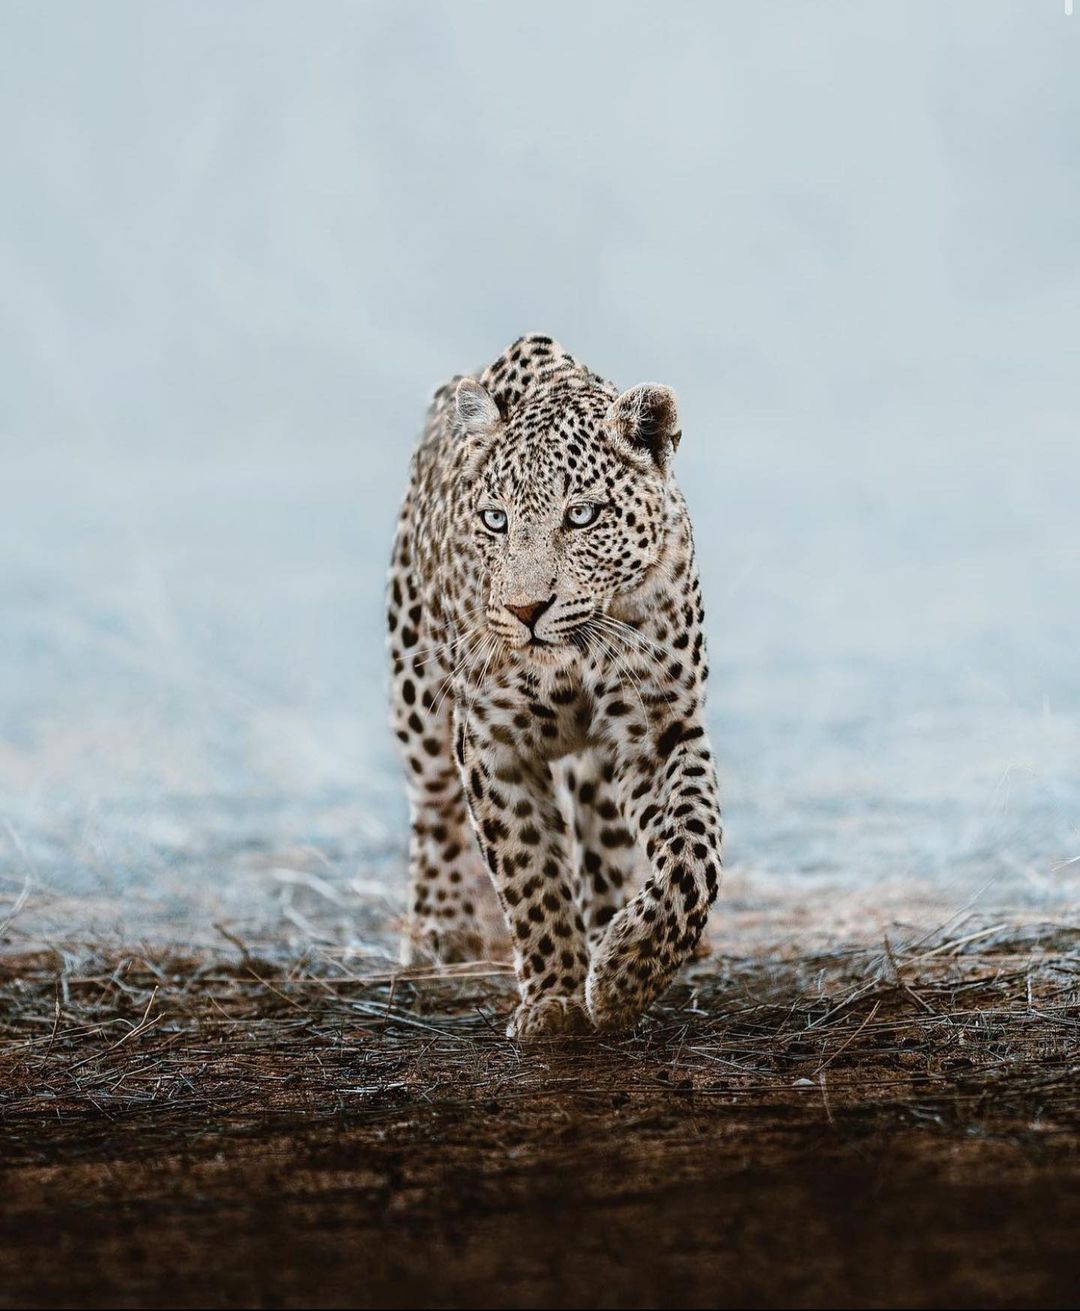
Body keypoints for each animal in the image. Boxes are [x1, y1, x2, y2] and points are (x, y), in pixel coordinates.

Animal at [387, 334, 722, 1038]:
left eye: (582, 515)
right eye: (494, 521)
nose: (523, 610)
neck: (574, 657)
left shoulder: (658, 728)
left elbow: (693, 851)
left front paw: (626, 970)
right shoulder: (492, 742)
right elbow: (530, 873)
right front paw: (554, 1001)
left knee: (603, 837)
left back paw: (605, 922)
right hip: (415, 687)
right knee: (431, 809)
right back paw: (441, 928)